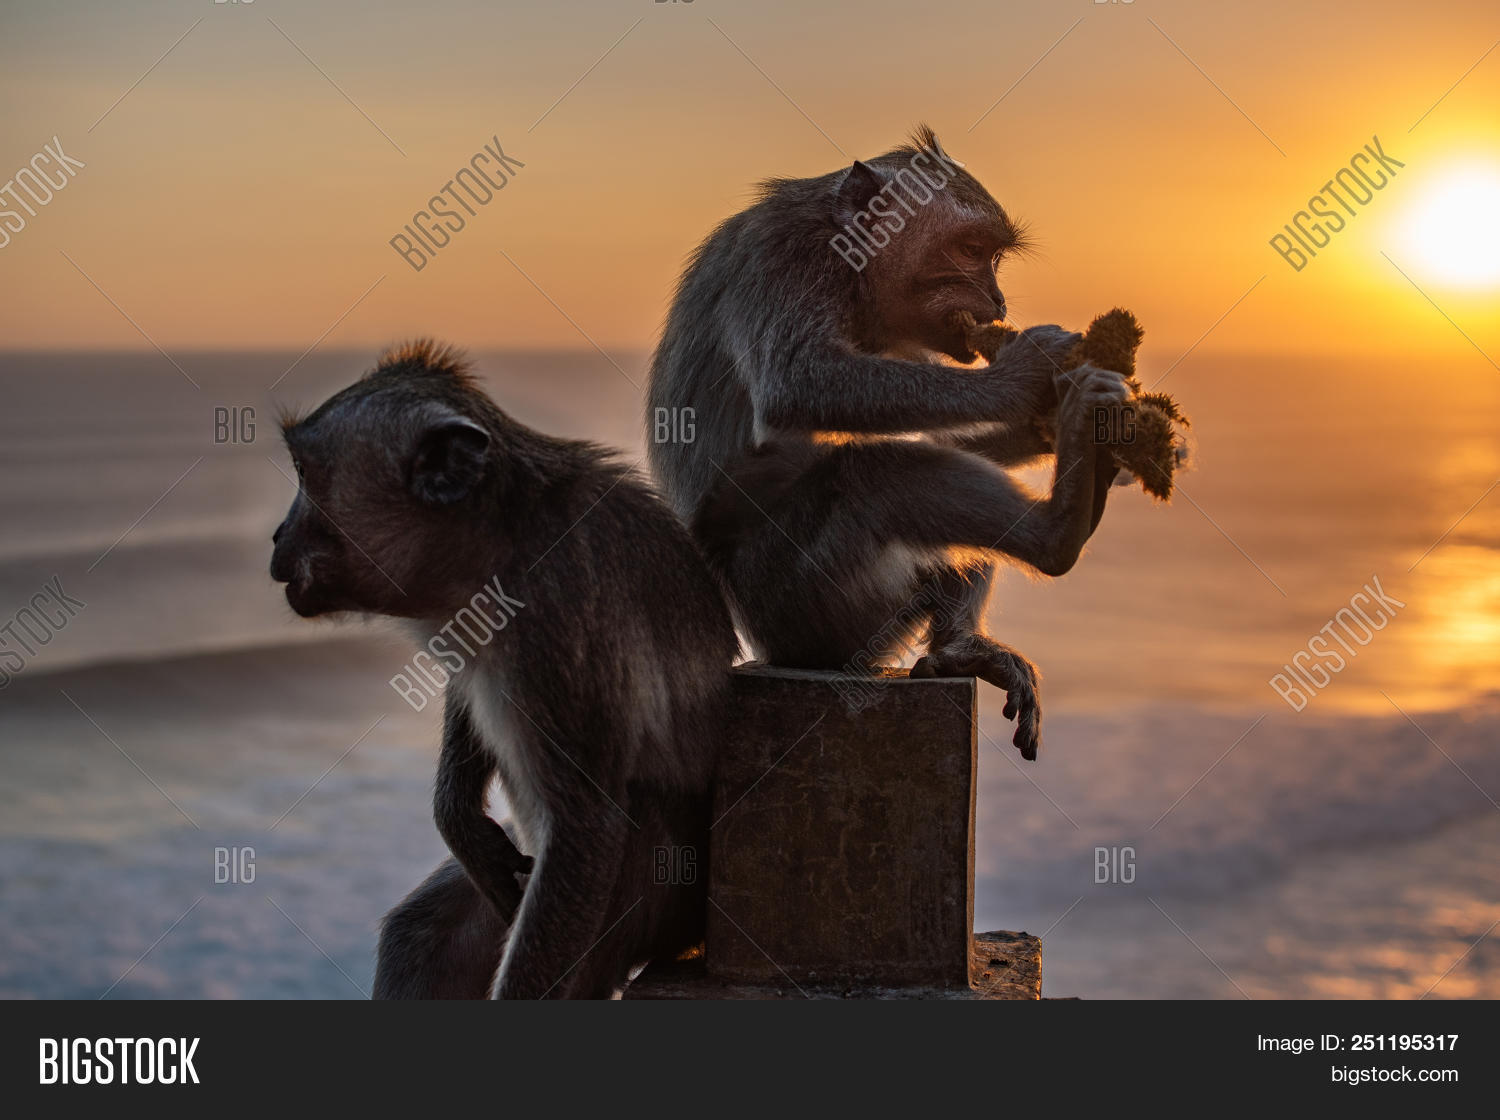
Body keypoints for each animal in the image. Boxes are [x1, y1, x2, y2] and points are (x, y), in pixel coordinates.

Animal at [270, 341, 737, 998]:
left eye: (306, 475)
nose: (277, 535)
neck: (498, 540)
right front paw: (458, 817)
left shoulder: (555, 619)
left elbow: (587, 822)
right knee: (426, 931)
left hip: (643, 900)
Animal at [647, 126, 1127, 761]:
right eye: (970, 248)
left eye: (993, 255)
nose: (999, 302)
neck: (854, 278)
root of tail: (766, 644)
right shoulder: (791, 262)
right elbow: (801, 382)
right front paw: (1026, 376)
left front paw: (1049, 422)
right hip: (805, 600)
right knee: (874, 476)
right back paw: (1059, 532)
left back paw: (958, 645)